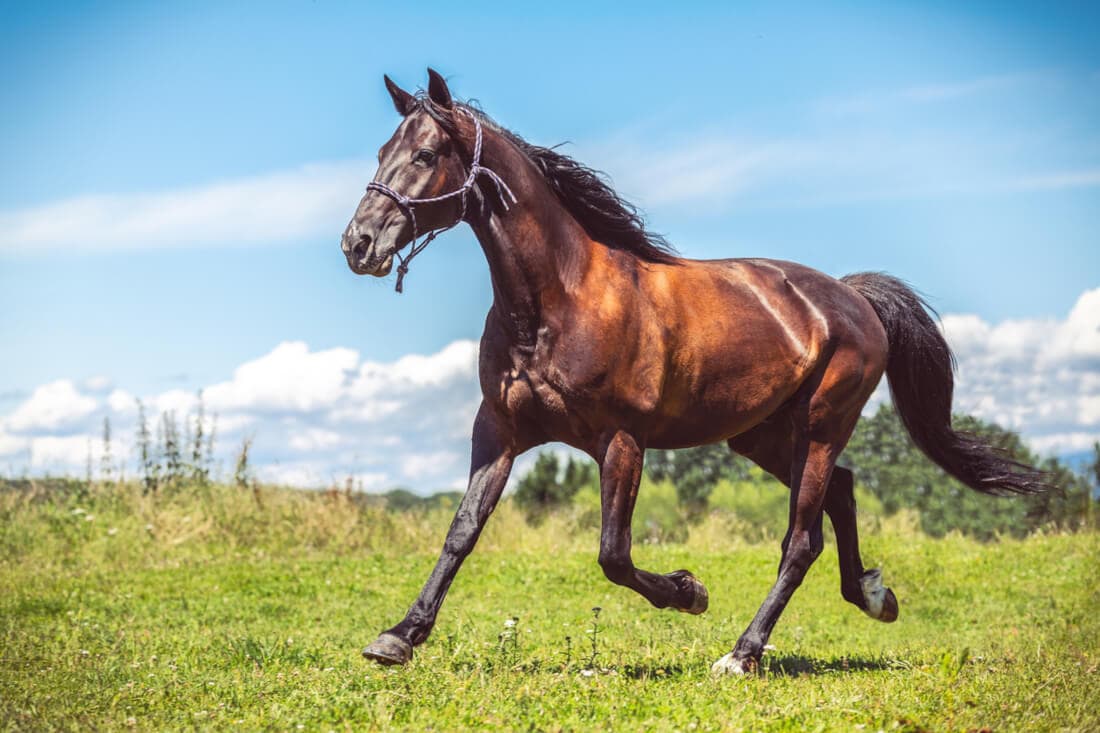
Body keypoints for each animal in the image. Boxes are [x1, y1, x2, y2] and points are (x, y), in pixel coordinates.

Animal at [340, 69, 1049, 675]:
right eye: (380, 151)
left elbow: (613, 554)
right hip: (761, 436)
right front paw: (398, 638)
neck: (558, 302)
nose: (358, 244)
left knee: (801, 540)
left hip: (821, 425)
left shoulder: (622, 441)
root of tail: (852, 297)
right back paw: (873, 596)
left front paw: (689, 591)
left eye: (426, 155)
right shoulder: (499, 431)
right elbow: (462, 532)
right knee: (843, 493)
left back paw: (743, 653)